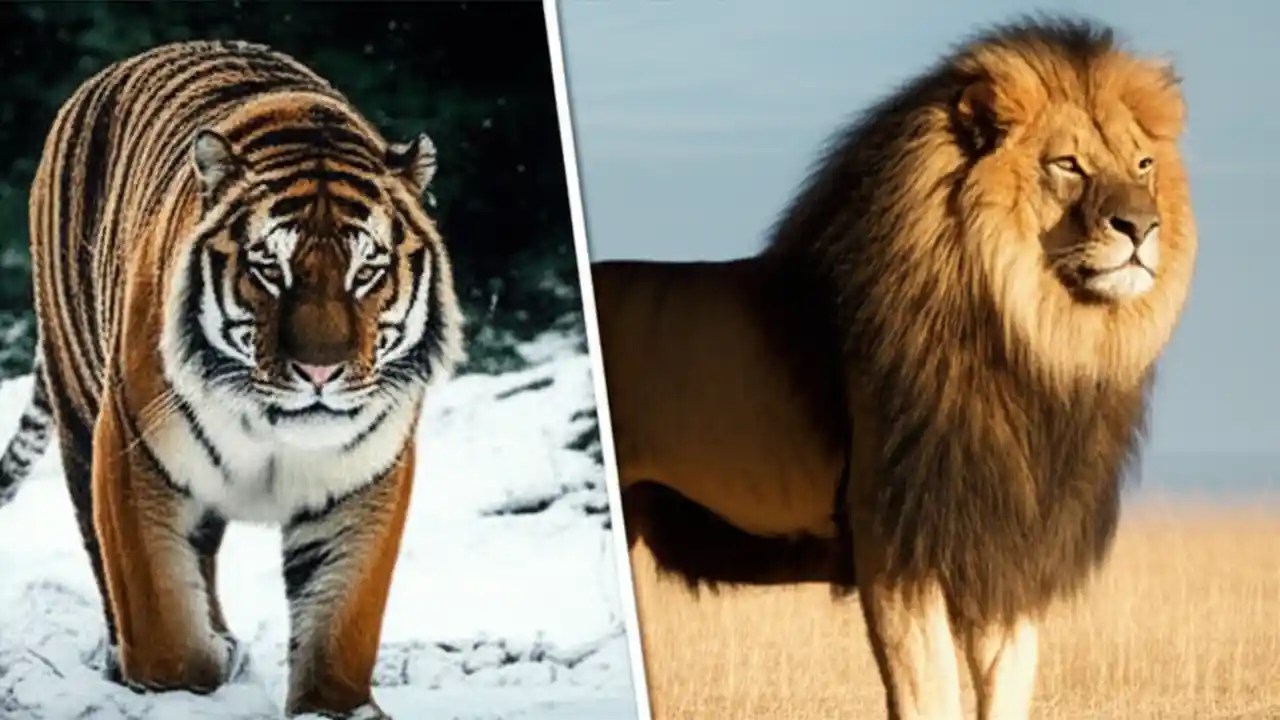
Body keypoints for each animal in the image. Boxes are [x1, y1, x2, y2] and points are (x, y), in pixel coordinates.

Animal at [0, 40, 464, 719]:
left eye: (366, 271)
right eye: (269, 268)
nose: (320, 371)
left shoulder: (365, 477)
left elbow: (341, 619)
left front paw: (334, 706)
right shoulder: (137, 455)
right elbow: (162, 618)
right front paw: (182, 690)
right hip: (81, 413)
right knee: (101, 543)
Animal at [593, 18, 1195, 720]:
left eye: (1143, 165)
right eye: (1068, 165)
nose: (1141, 225)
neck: (1035, 344)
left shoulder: (1005, 548)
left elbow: (1007, 687)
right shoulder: (894, 544)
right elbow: (929, 695)